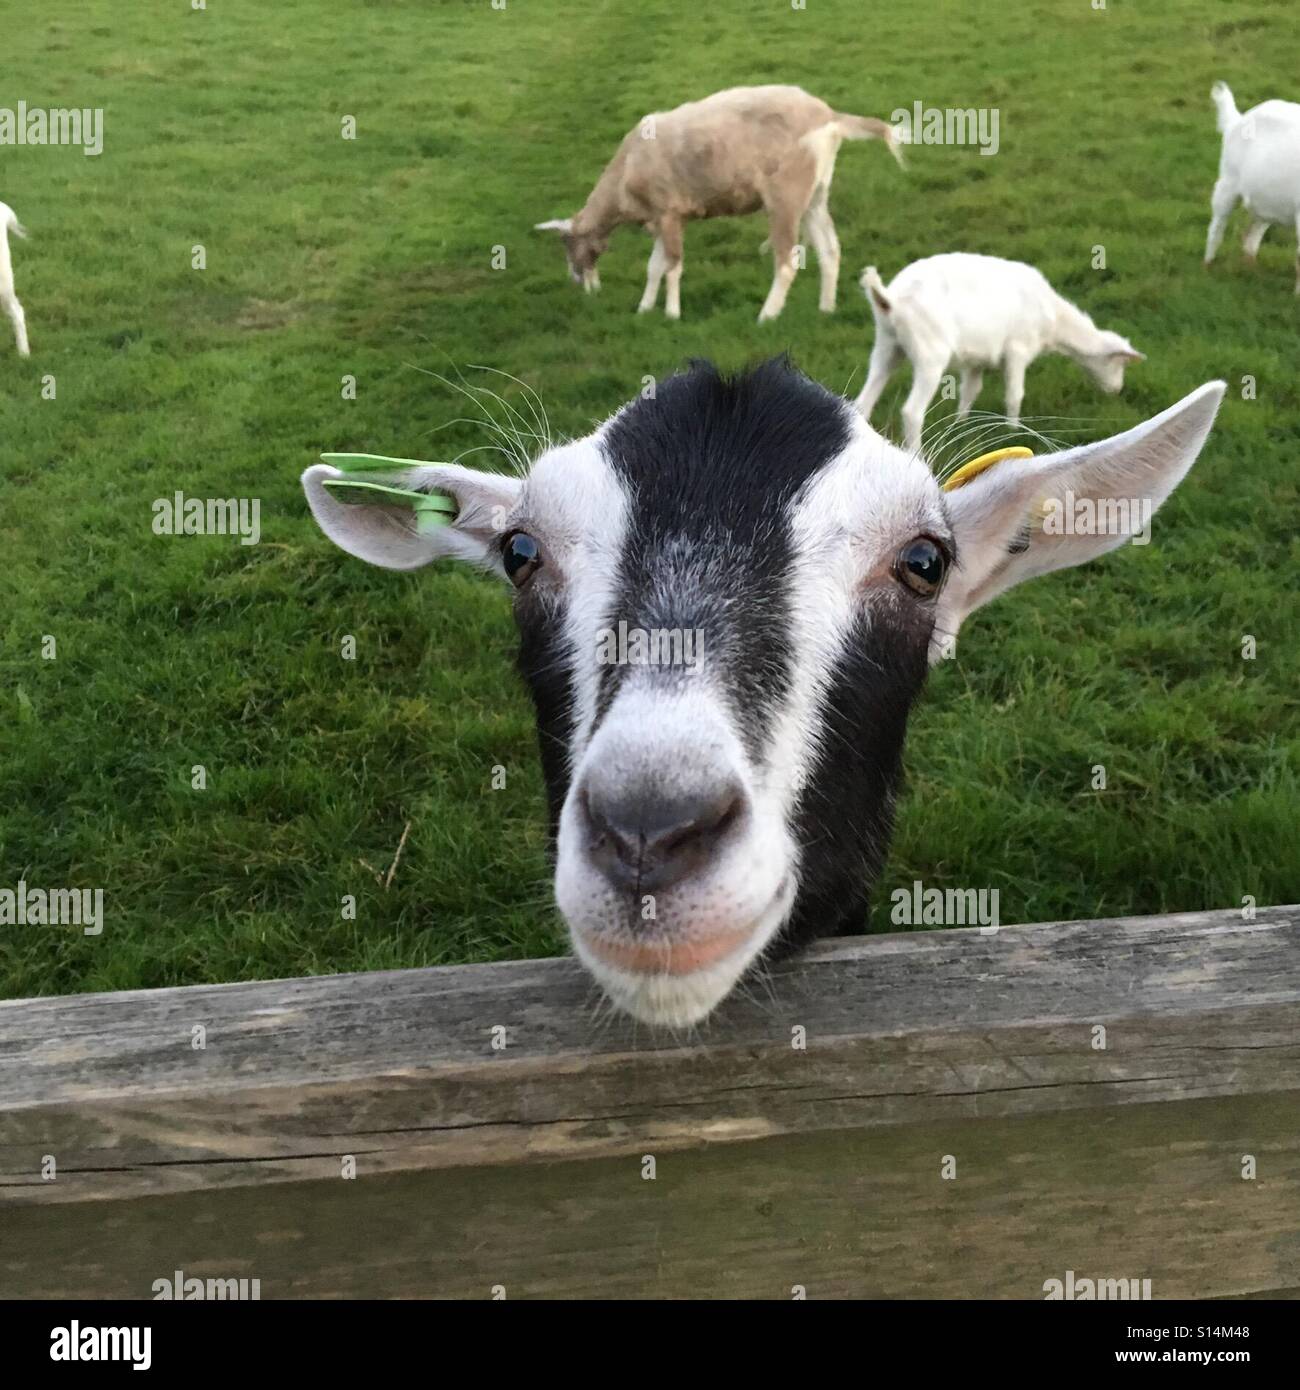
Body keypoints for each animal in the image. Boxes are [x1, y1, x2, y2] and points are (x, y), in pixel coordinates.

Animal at [535, 85, 905, 322]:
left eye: (567, 243)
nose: (577, 280)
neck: (626, 172)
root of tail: (829, 116)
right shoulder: (660, 218)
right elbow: (654, 266)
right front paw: (644, 308)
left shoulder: (669, 212)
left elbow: (672, 265)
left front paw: (671, 313)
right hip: (815, 194)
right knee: (829, 251)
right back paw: (826, 308)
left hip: (786, 196)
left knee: (787, 262)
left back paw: (767, 315)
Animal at [853, 254, 1144, 455]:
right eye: (1119, 364)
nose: (1116, 390)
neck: (1054, 324)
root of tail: (889, 300)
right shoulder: (1018, 350)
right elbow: (1015, 394)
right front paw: (1013, 430)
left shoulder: (975, 360)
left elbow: (970, 391)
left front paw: (961, 425)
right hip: (930, 352)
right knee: (912, 412)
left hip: (886, 345)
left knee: (863, 402)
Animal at [1204, 81, 1300, 291]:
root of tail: (1238, 120)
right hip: (1227, 182)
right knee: (1217, 226)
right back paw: (1207, 265)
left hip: (1264, 197)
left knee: (1253, 235)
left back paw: (1250, 269)